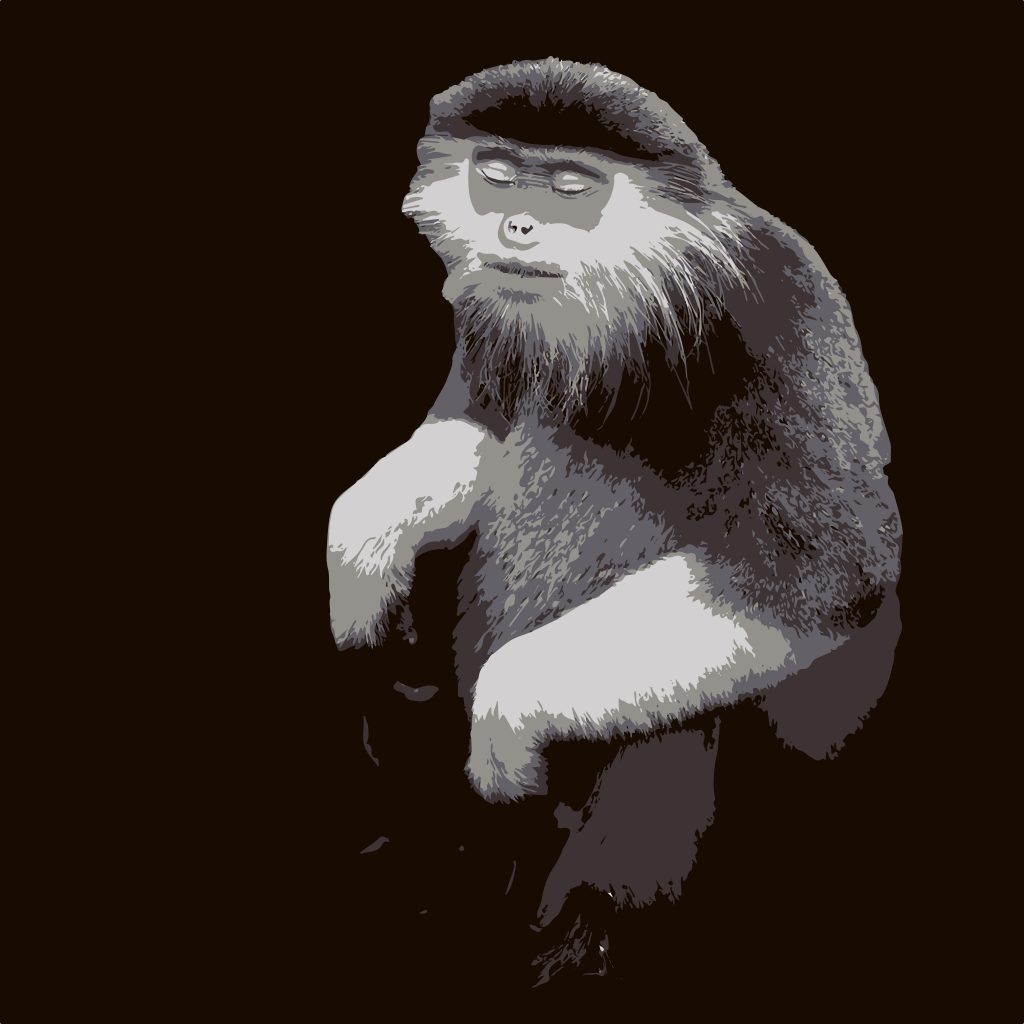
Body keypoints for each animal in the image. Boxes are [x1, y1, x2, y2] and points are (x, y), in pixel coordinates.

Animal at [328, 58, 901, 981]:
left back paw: (586, 923)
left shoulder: (770, 299)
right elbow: (482, 427)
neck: (636, 304)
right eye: (498, 176)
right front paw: (362, 550)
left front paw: (506, 722)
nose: (519, 226)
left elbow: (825, 579)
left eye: (570, 187)